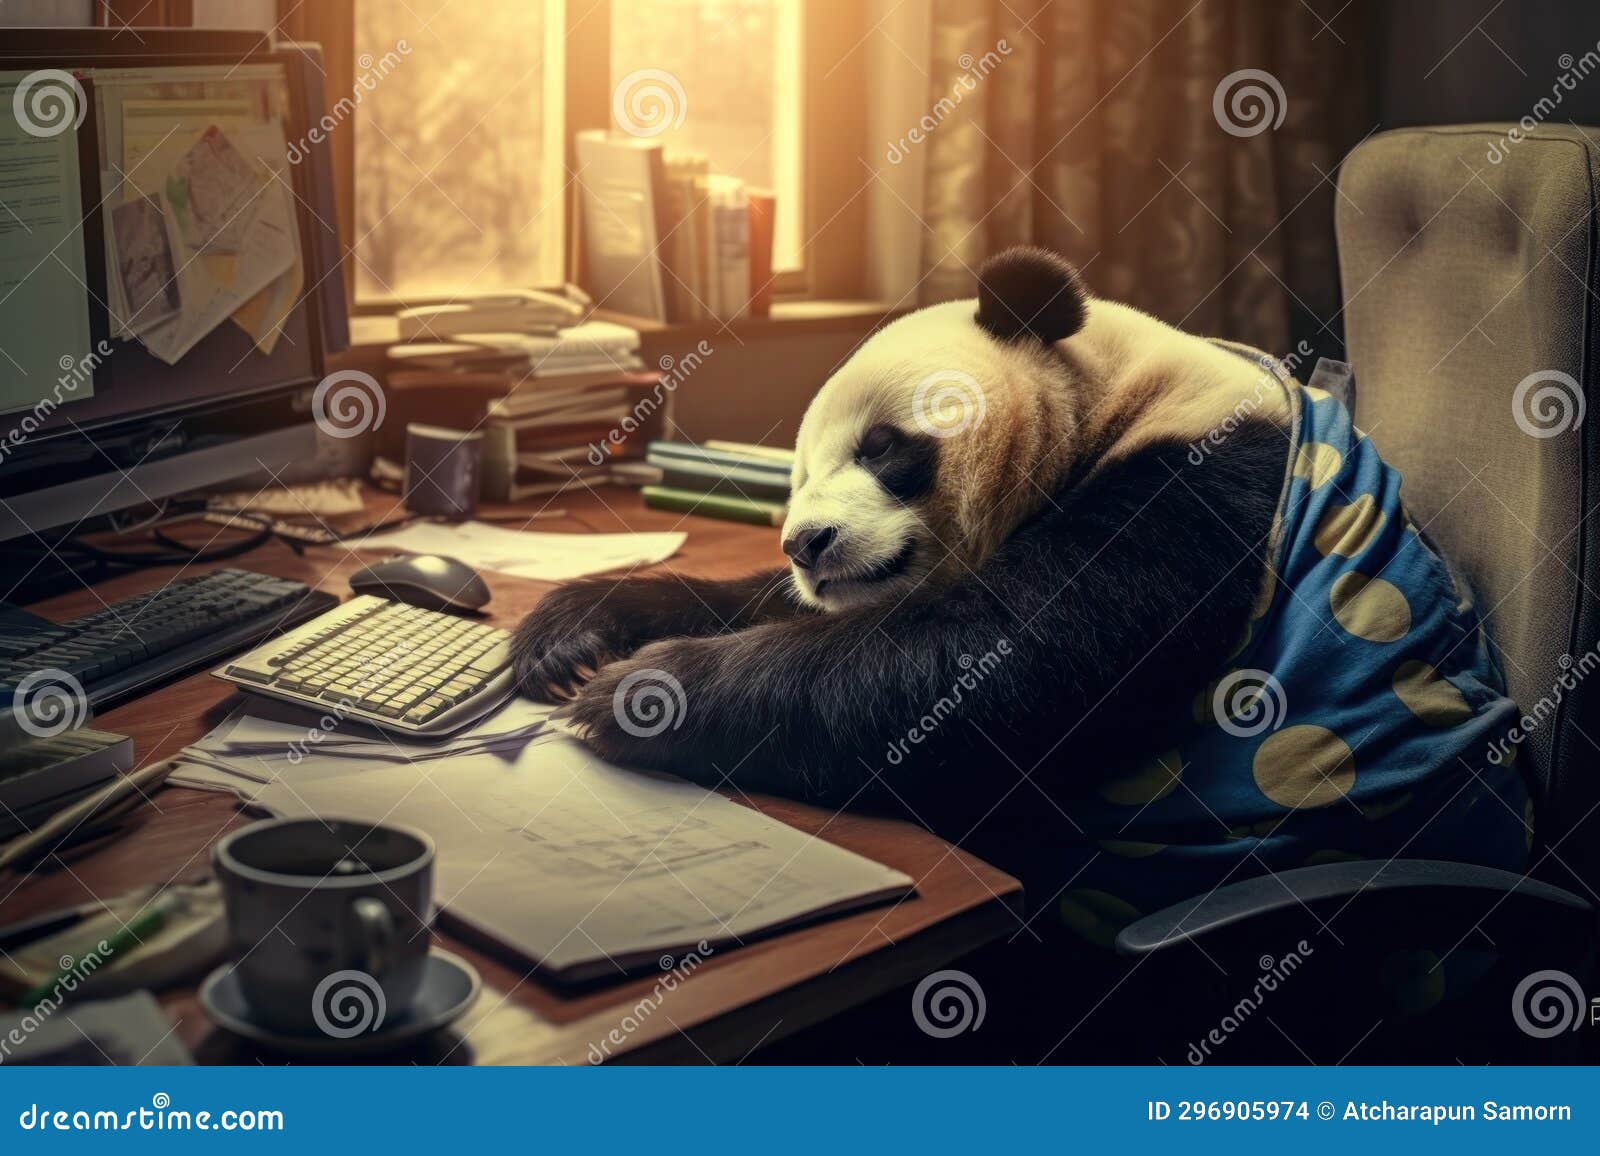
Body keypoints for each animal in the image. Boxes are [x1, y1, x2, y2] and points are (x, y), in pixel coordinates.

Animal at [511, 246, 1529, 935]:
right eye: (796, 476)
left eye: (883, 448)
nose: (806, 543)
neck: (1111, 395)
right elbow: (778, 609)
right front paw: (575, 636)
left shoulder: (1194, 480)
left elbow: (989, 669)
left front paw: (639, 695)